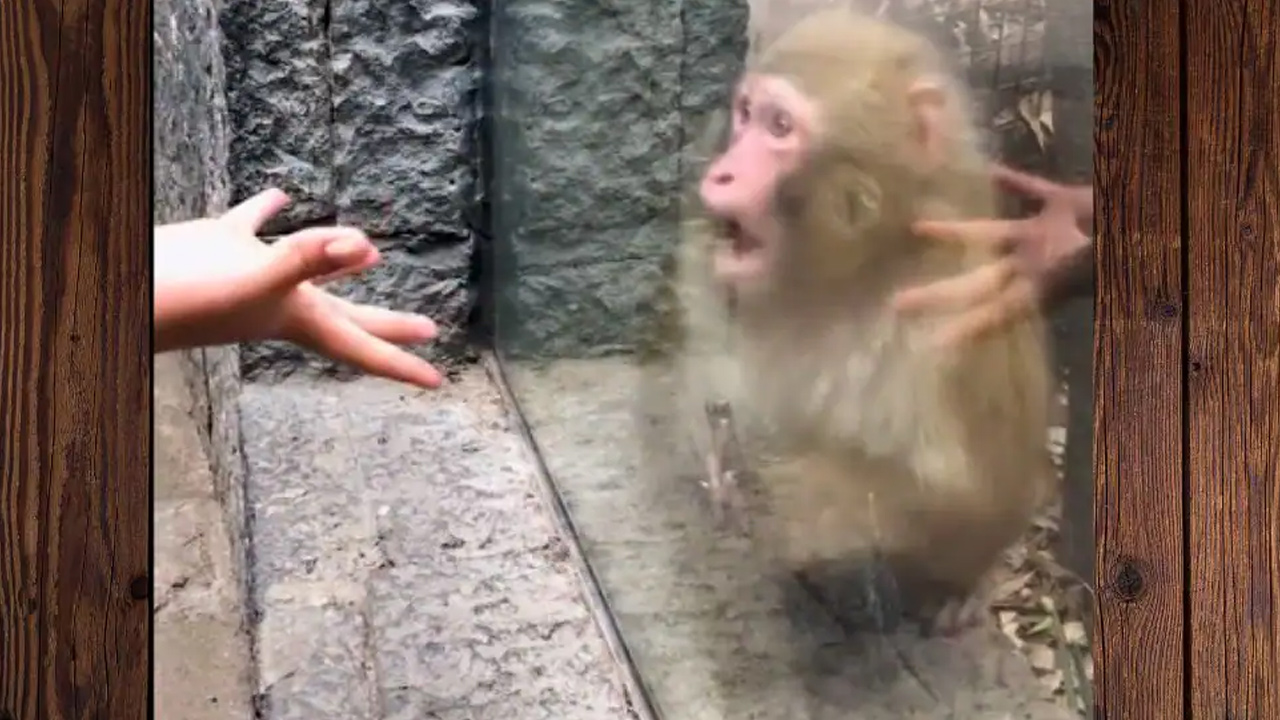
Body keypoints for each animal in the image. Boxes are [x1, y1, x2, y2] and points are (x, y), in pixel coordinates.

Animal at [640, 8, 1056, 640]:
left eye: (781, 126)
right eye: (746, 114)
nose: (722, 174)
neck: (855, 268)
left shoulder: (947, 312)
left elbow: (969, 494)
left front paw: (785, 498)